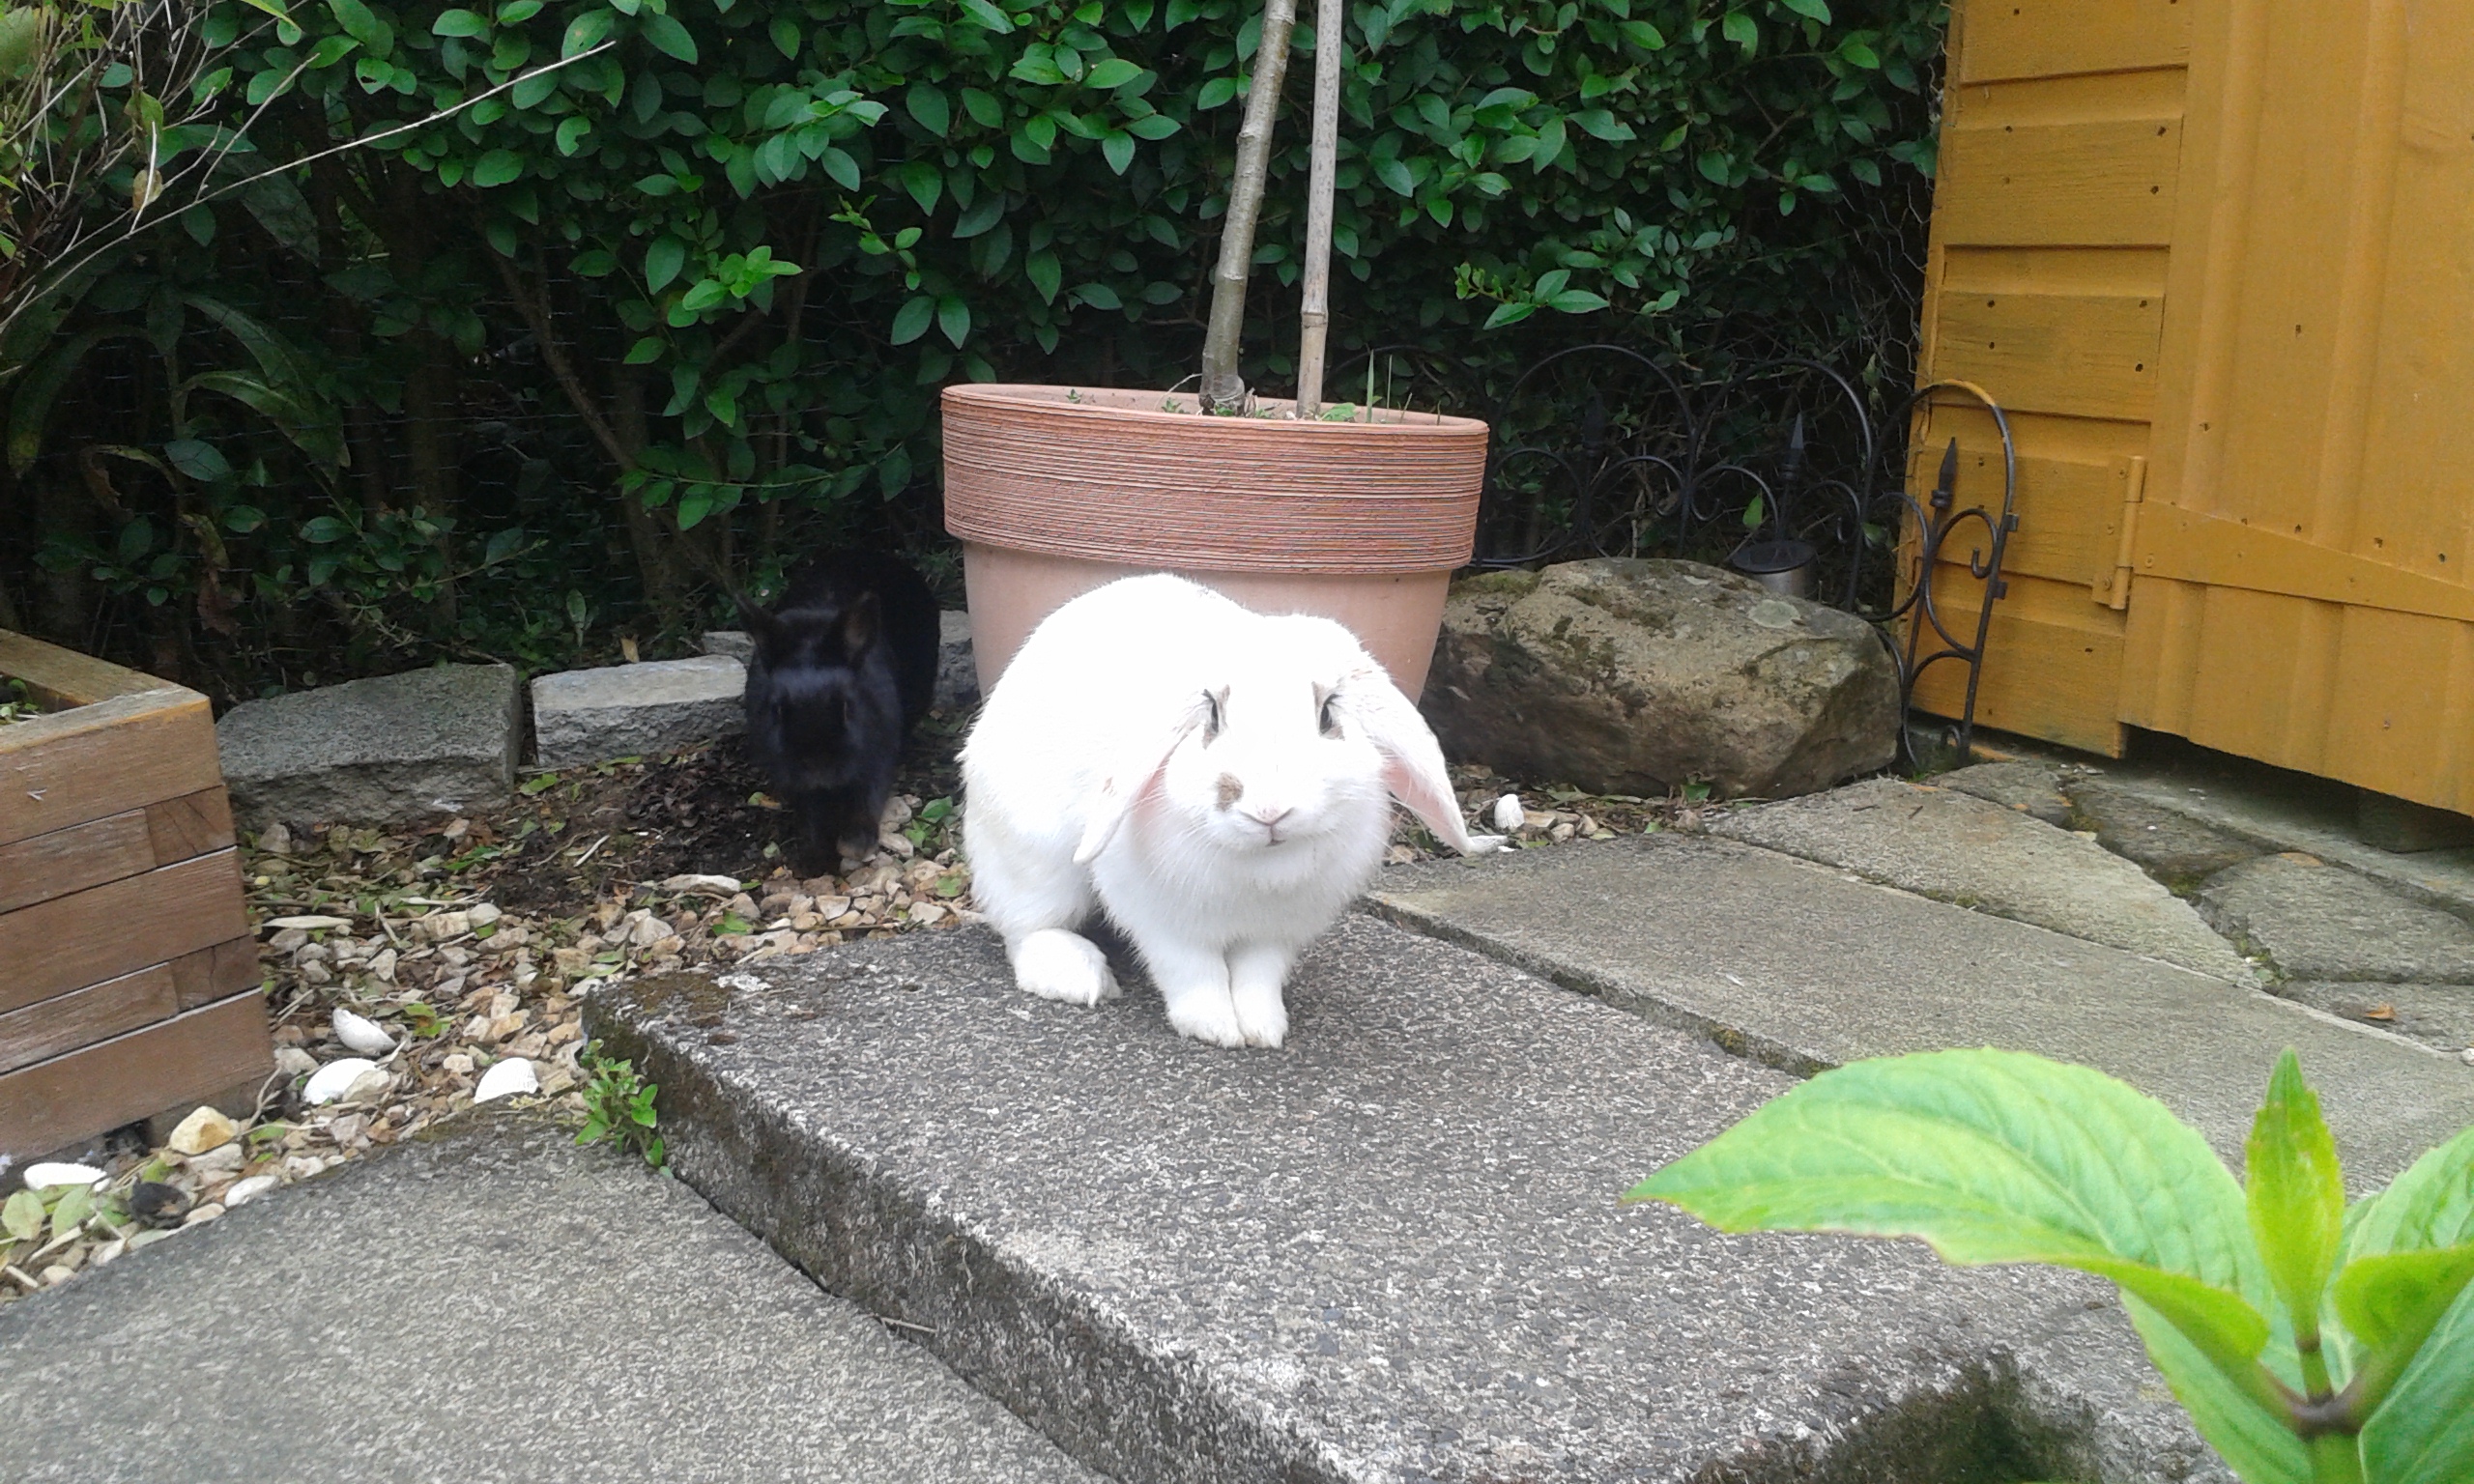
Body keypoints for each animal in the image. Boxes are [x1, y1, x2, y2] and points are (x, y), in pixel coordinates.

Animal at [739, 549, 941, 878]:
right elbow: (812, 814)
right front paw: (817, 859)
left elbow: (867, 799)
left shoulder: (877, 755)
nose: (818, 769)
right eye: (777, 710)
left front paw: (855, 846)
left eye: (846, 708)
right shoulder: (792, 776)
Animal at [959, 574, 1501, 1049]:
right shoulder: (1161, 920)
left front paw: (1263, 1030)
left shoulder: (1277, 933)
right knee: (1024, 928)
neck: (1259, 866)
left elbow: (1257, 977)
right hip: (1032, 861)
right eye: (1213, 717)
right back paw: (1078, 976)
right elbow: (1191, 971)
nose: (1270, 809)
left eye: (1328, 714)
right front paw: (1214, 1028)